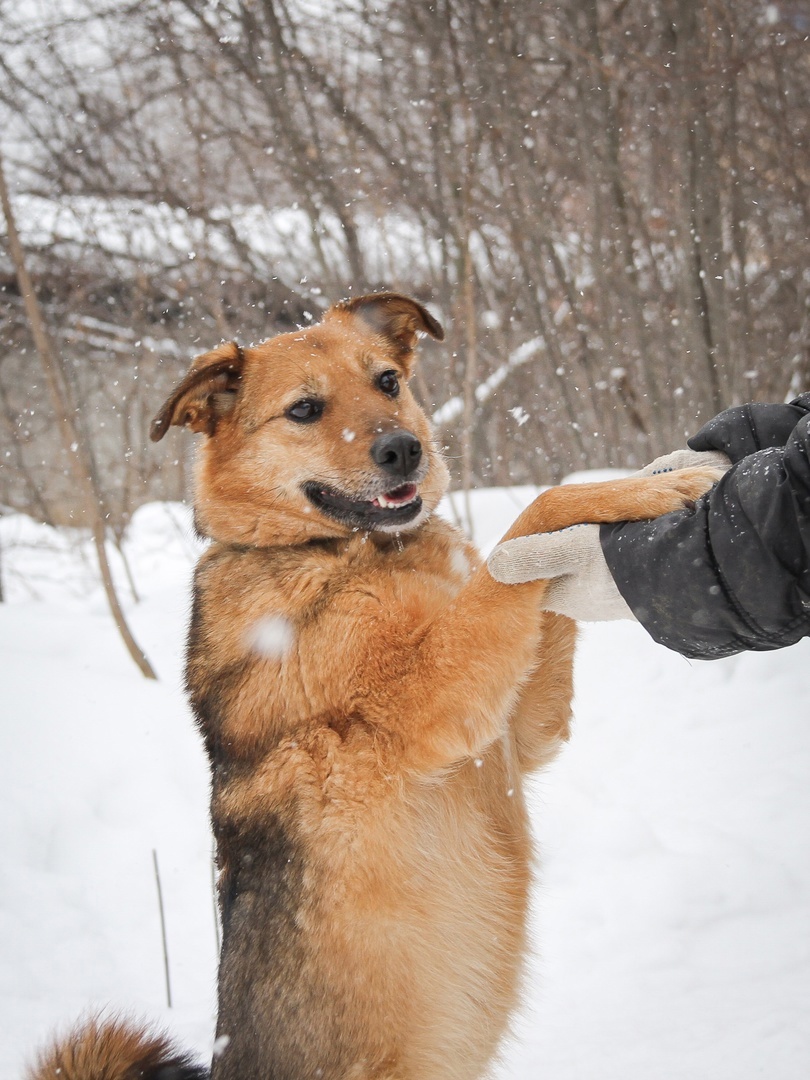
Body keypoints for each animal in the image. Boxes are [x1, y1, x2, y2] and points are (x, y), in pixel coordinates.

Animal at [27, 295, 721, 1080]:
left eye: (387, 380)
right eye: (304, 409)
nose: (403, 450)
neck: (338, 548)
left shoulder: (521, 727)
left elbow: (534, 575)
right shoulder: (436, 695)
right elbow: (536, 513)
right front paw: (647, 485)